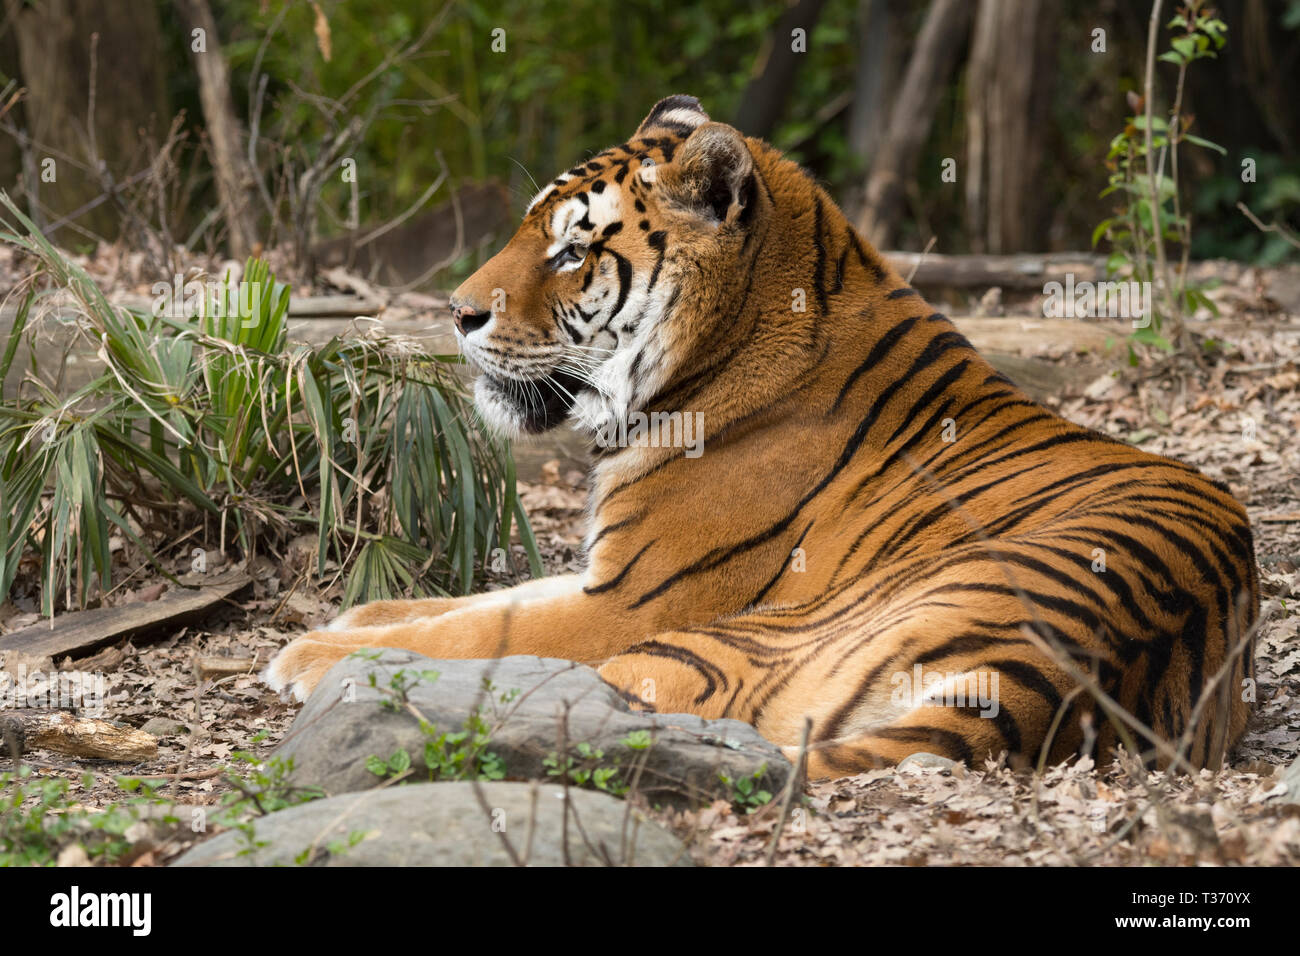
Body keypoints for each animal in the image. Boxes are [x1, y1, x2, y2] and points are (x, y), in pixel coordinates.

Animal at [265, 95, 1259, 778]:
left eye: (573, 251)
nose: (457, 312)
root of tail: (1035, 681)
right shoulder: (604, 571)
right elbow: (469, 601)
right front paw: (358, 617)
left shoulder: (632, 600)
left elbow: (482, 628)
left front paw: (314, 653)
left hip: (698, 645)